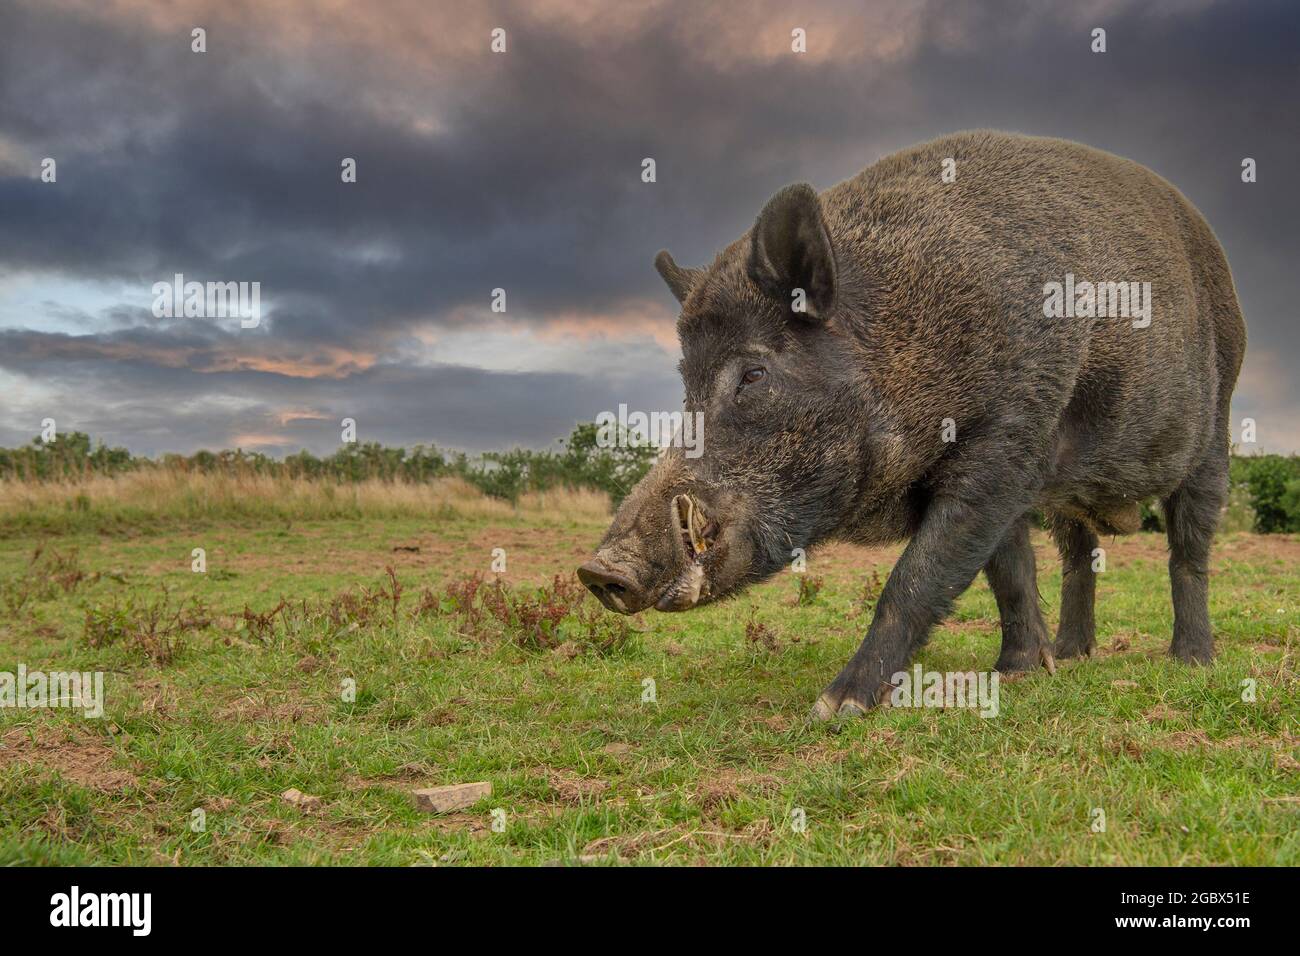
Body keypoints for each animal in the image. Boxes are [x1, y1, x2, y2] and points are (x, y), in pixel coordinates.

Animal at [577, 130, 1246, 719]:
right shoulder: (1013, 469)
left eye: (753, 374)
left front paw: (834, 708)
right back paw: (1072, 654)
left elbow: (917, 576)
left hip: (1216, 426)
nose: (599, 570)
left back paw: (1190, 661)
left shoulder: (1009, 436)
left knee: (1189, 550)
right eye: (686, 380)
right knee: (1079, 557)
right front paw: (1018, 672)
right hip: (1069, 495)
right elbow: (1009, 570)